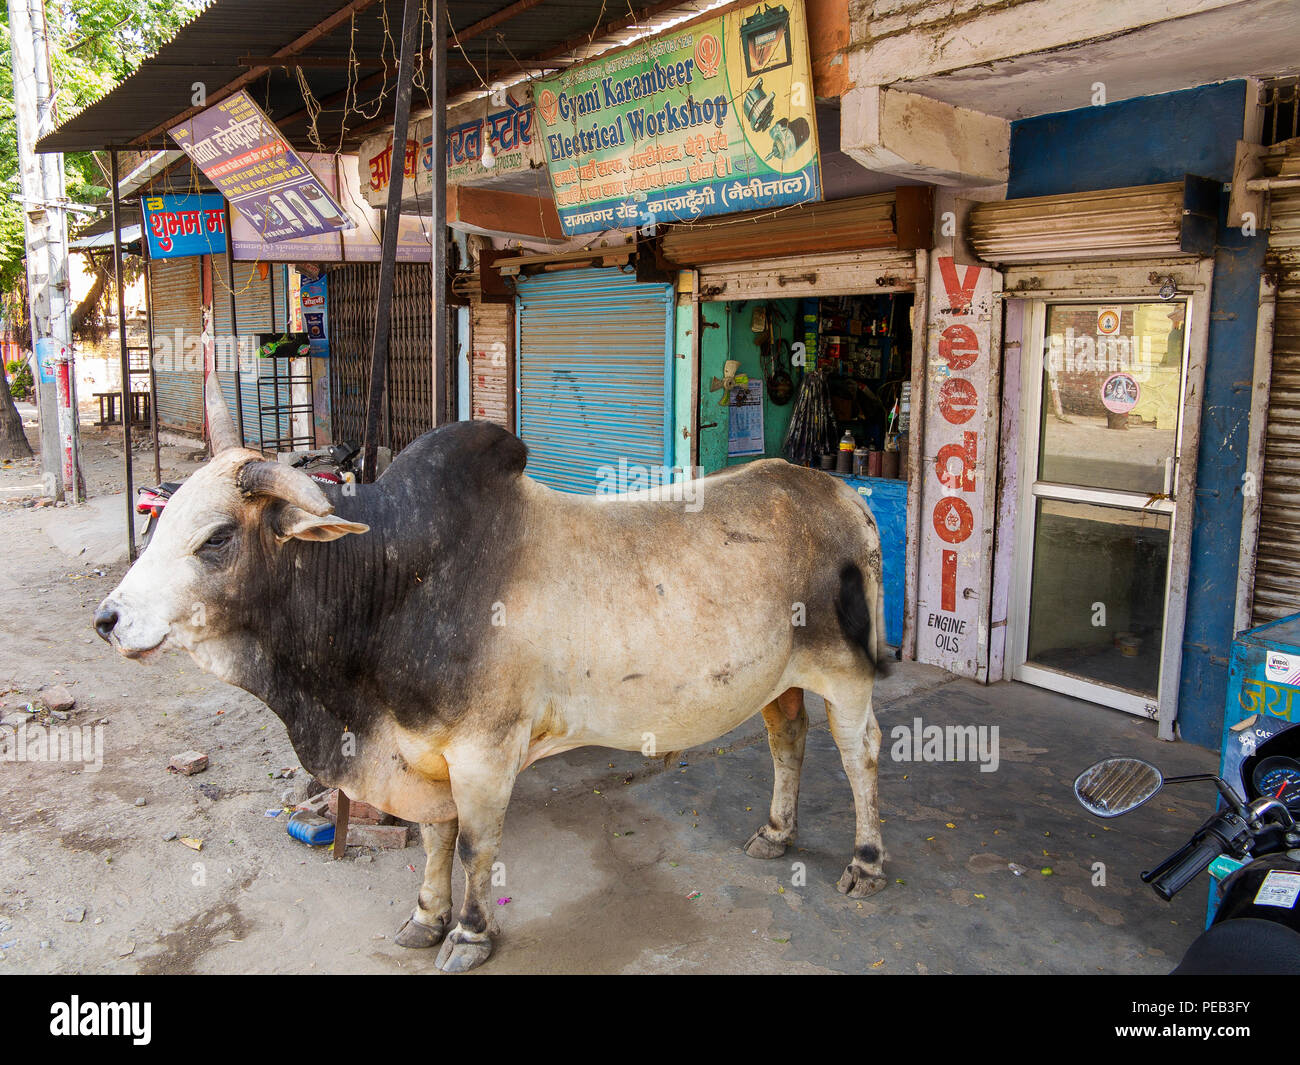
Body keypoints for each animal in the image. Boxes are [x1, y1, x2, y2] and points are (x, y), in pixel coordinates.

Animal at [95, 374, 890, 972]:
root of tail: (841, 493)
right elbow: (435, 838)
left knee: (861, 754)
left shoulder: (485, 751)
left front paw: (470, 934)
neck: (393, 580)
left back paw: (867, 861)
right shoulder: (424, 752)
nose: (108, 619)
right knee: (788, 739)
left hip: (846, 673)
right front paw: (424, 918)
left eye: (217, 538)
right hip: (779, 678)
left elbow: (478, 843)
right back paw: (777, 832)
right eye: (160, 520)